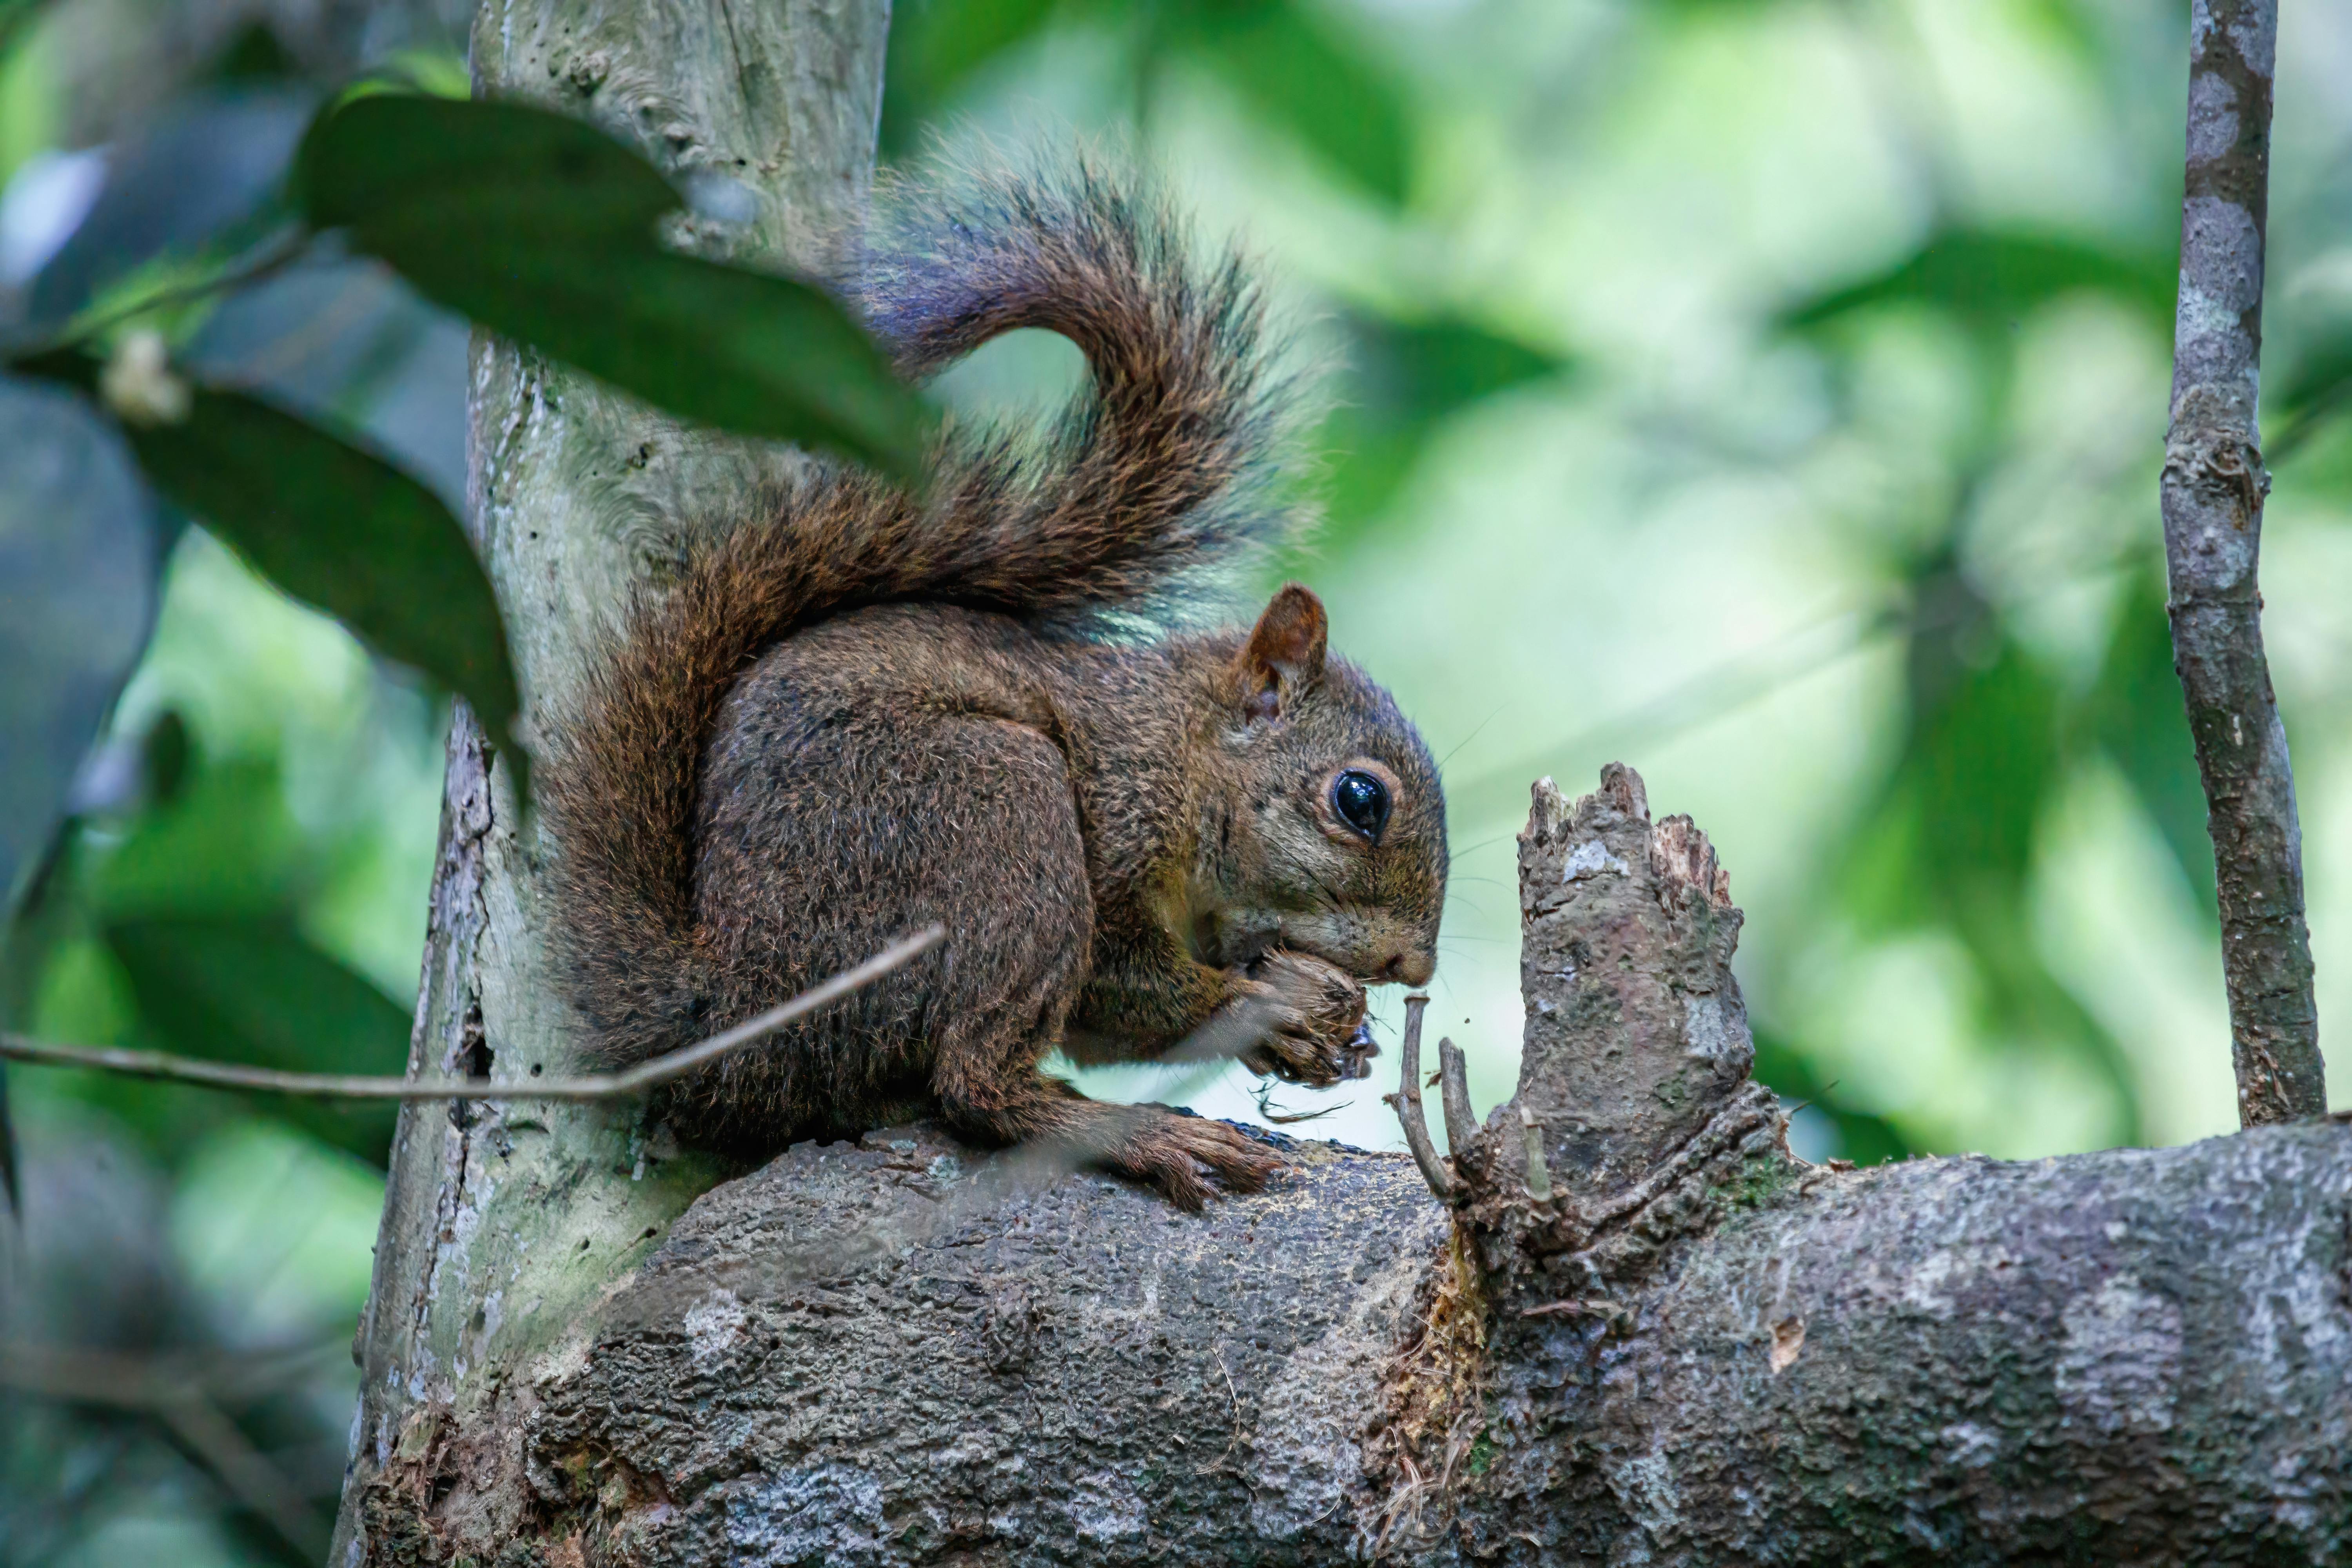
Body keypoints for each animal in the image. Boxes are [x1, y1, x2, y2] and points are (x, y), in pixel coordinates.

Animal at [540, 162, 1448, 1209]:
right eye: (1359, 800)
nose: (1414, 962)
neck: (1180, 754)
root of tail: (731, 1004)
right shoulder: (1116, 811)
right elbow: (1123, 983)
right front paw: (1278, 1006)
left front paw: (1331, 1041)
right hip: (994, 809)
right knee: (977, 1080)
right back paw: (1139, 1134)